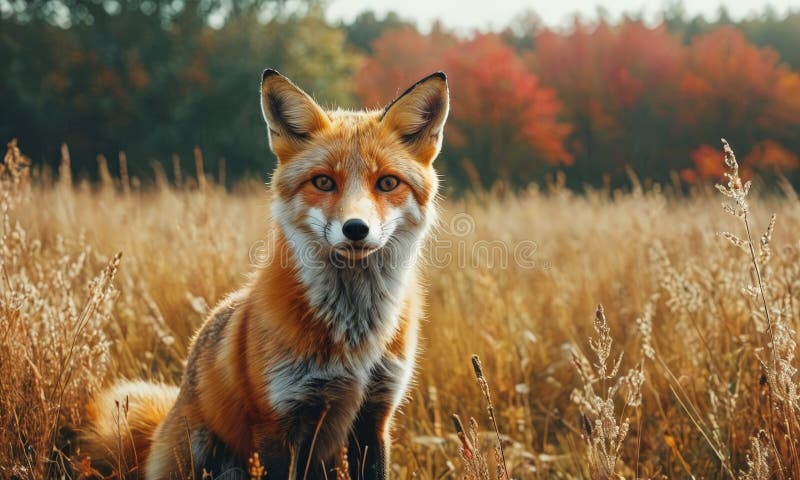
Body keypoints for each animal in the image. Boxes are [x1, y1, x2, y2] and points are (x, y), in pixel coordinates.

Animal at [81, 69, 449, 479]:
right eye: (323, 182)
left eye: (387, 183)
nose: (356, 229)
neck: (353, 337)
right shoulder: (276, 422)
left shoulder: (375, 416)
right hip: (198, 448)